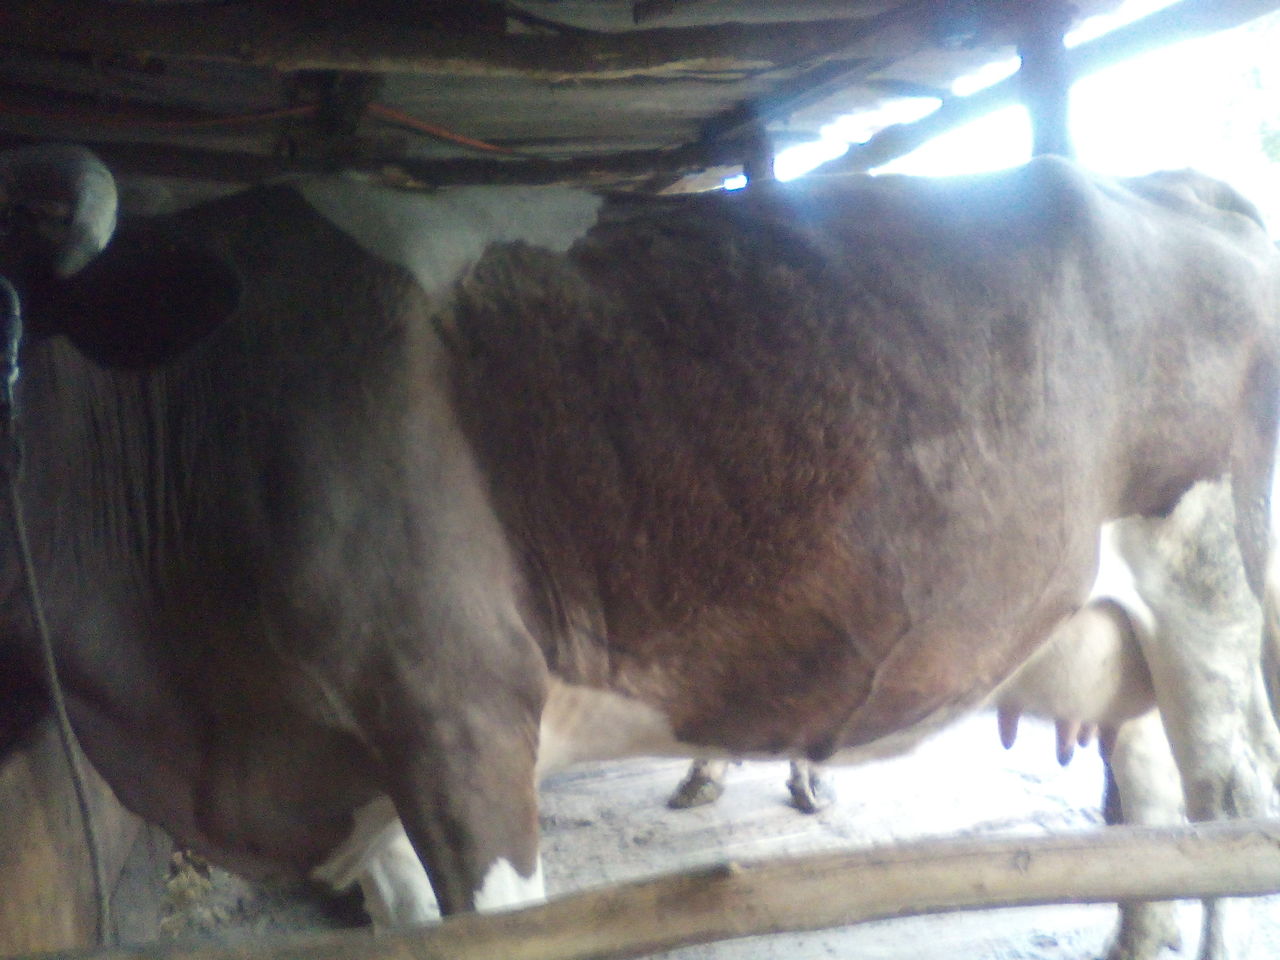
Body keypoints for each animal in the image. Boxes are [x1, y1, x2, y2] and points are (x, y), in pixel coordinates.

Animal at [2, 144, 1279, 952]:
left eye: (3, 332)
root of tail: (1177, 181)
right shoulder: (359, 780)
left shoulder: (457, 715)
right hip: (1118, 627)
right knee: (1151, 811)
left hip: (1212, 590)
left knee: (1230, 810)